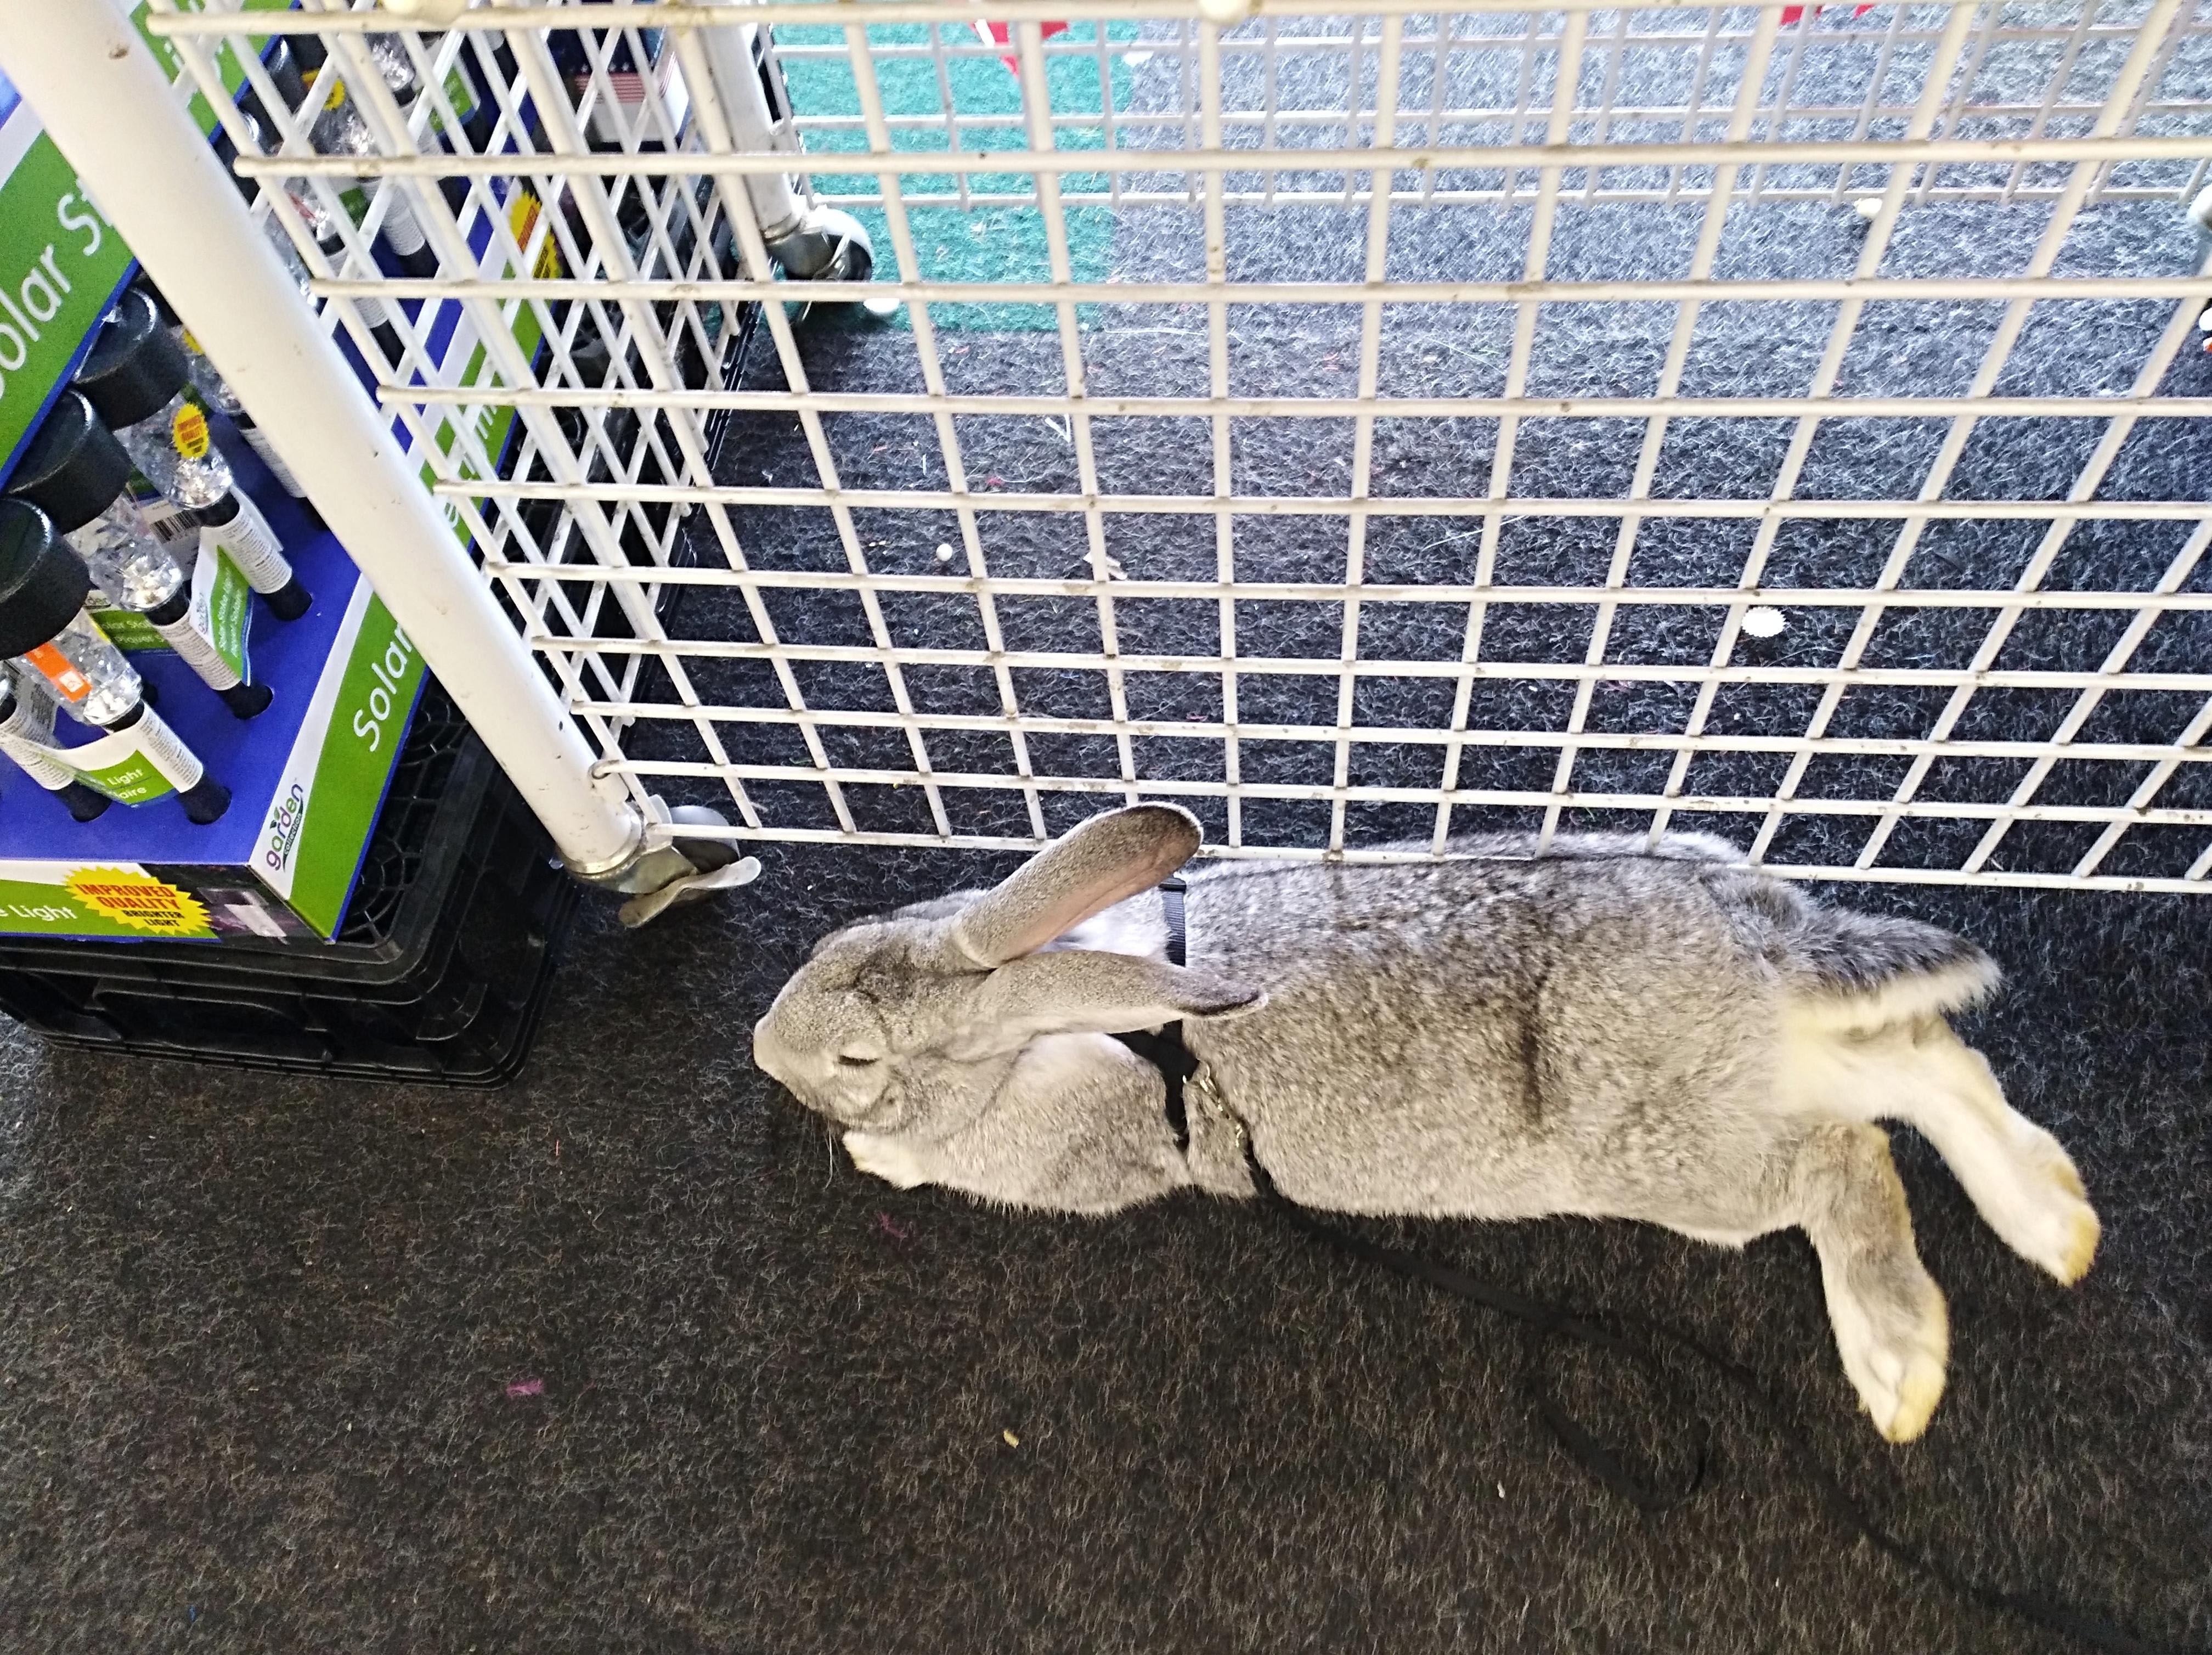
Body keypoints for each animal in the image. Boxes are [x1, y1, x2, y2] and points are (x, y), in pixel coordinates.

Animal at [753, 803, 2100, 1444]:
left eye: (855, 1056)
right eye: (830, 946)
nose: (761, 1048)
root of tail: (1753, 945)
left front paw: (879, 1149)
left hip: (1688, 1162)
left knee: (1846, 1154)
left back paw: (1898, 1358)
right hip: (1770, 1067)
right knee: (1926, 1063)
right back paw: (2050, 1216)